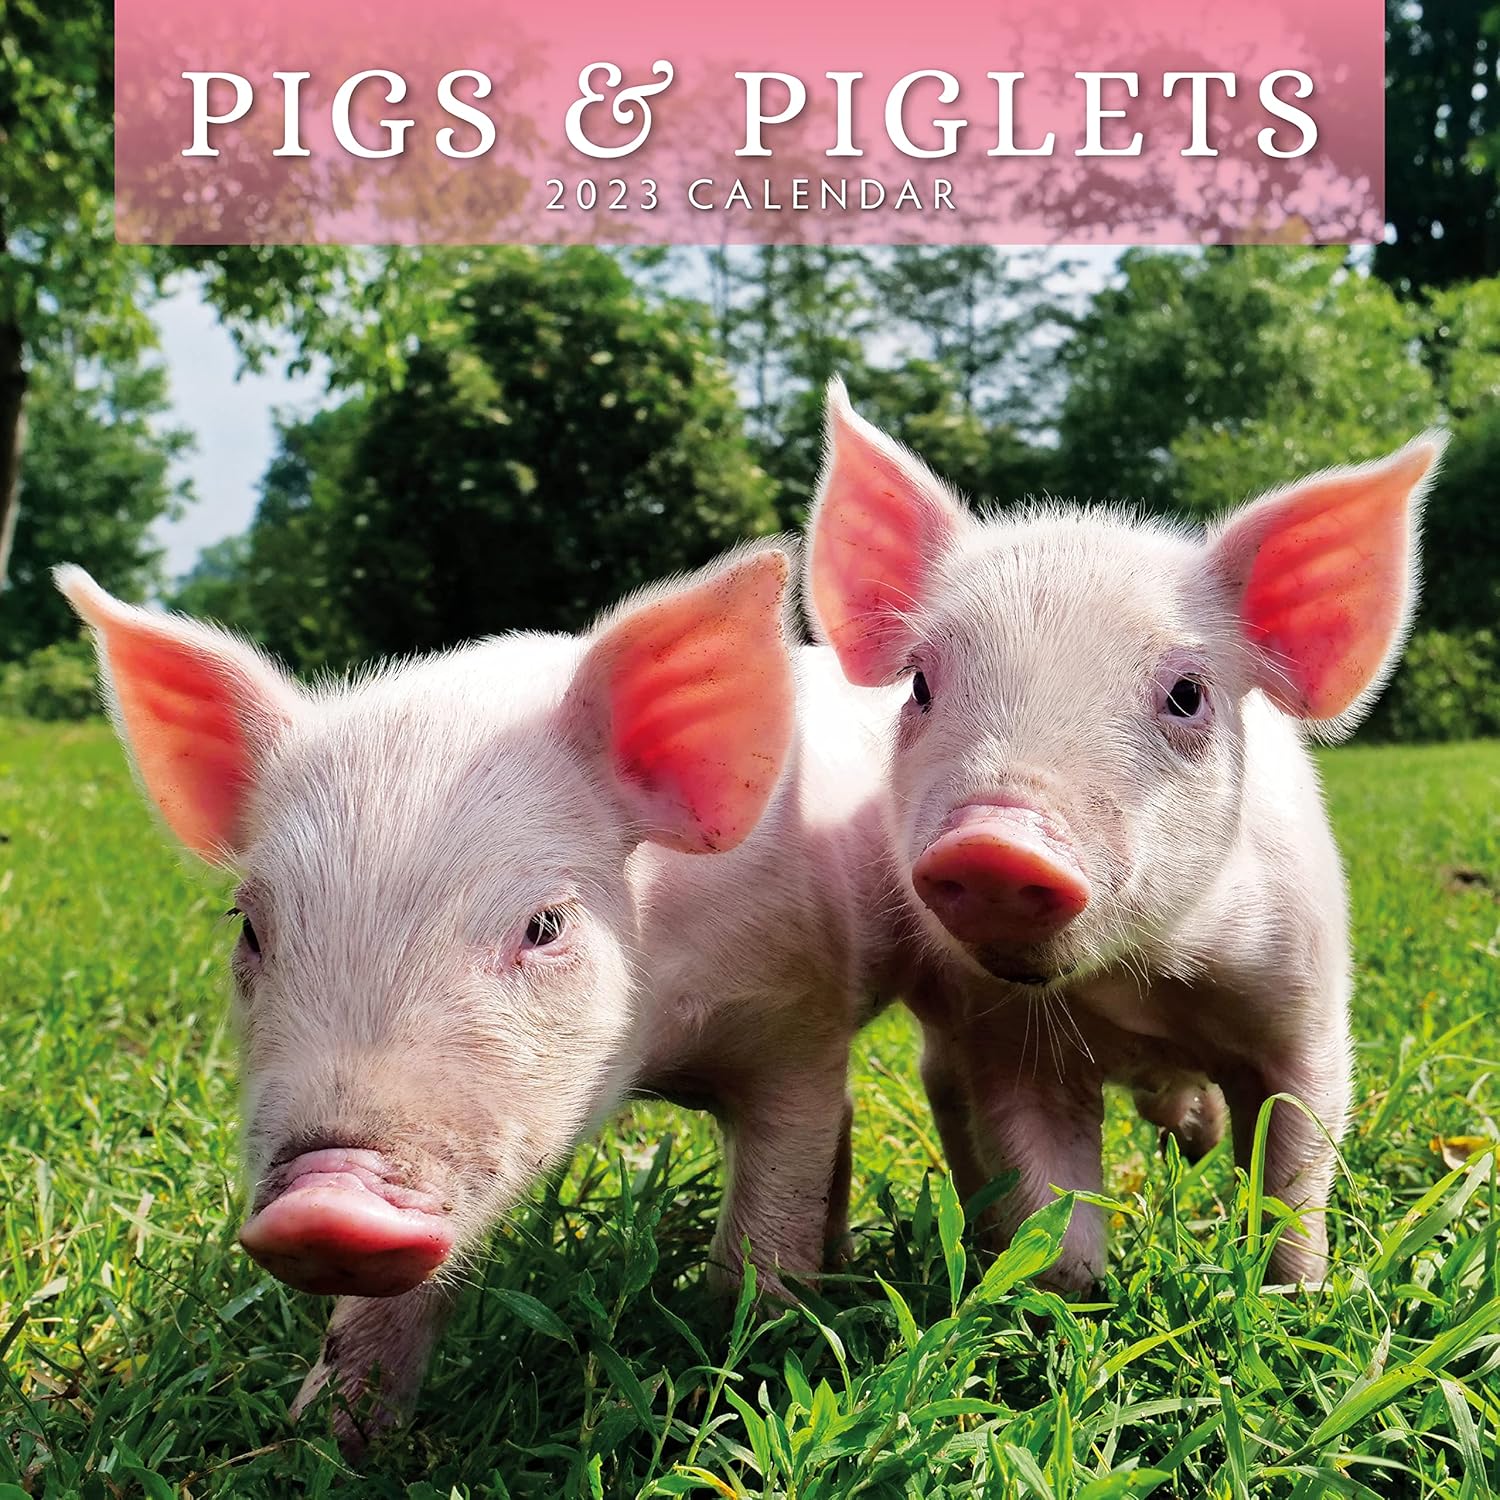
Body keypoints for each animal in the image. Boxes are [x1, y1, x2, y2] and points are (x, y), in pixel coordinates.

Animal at [58, 544, 904, 1455]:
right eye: (248, 928)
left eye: (545, 924)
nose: (326, 1200)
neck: (655, 1054)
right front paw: (326, 1438)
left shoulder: (799, 1019)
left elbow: (767, 1222)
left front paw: (759, 1370)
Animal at [804, 379, 1442, 1291]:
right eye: (921, 684)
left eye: (1186, 695)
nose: (995, 842)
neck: (1136, 990)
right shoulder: (1001, 1039)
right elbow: (1051, 1208)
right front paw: (1072, 1297)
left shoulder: (1306, 1007)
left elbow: (1293, 1169)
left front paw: (1295, 1292)